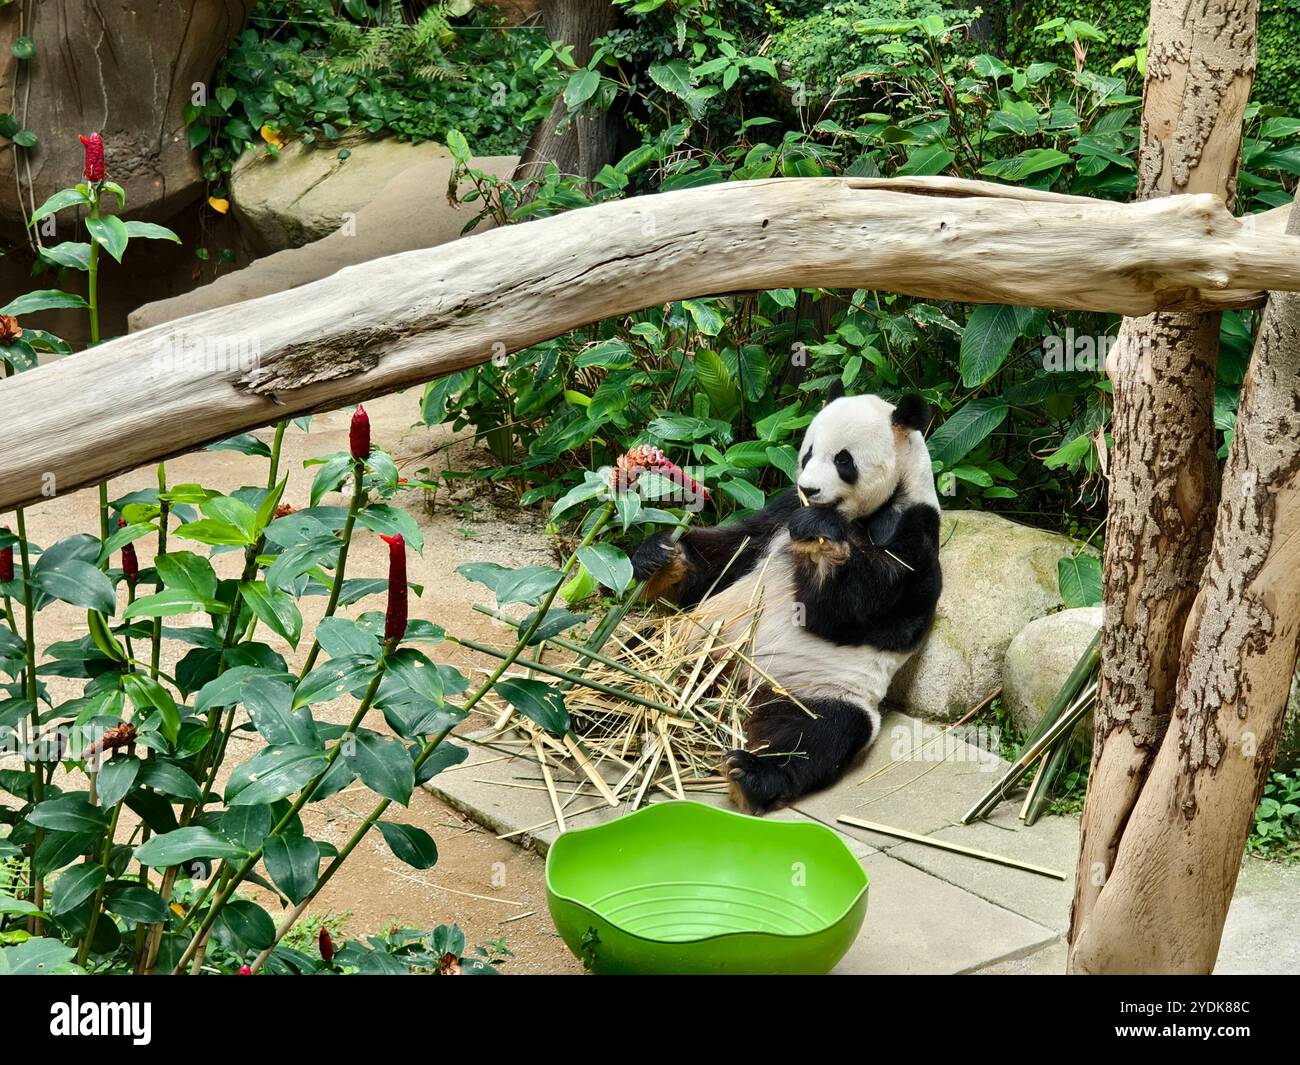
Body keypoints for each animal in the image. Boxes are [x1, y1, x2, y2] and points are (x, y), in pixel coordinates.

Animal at [631, 383, 942, 815]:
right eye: (808, 452)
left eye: (843, 460)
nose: (809, 488)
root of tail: (735, 691)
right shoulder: (779, 513)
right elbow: (727, 557)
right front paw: (659, 556)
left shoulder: (914, 530)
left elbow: (863, 610)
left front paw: (821, 537)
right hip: (692, 643)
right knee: (639, 653)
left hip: (817, 688)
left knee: (817, 733)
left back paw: (750, 776)